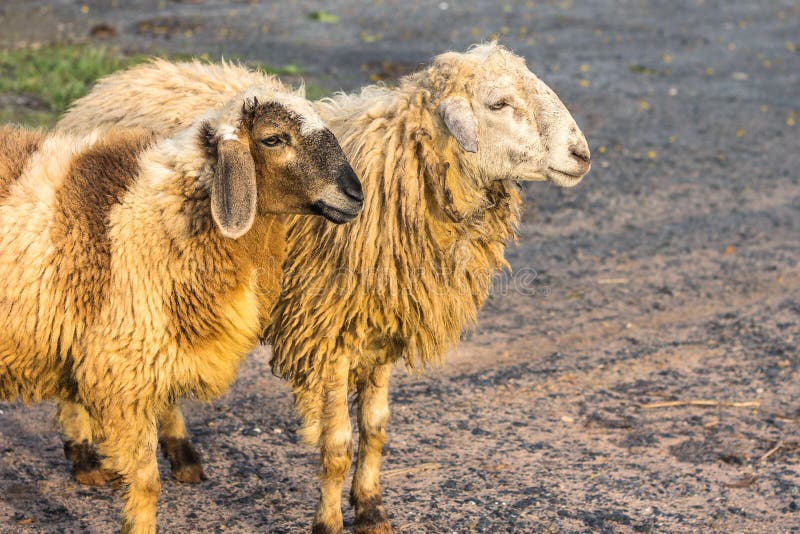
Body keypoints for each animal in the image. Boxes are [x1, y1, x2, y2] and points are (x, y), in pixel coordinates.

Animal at [53, 43, 591, 533]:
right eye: (499, 103)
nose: (582, 155)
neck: (394, 174)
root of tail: (122, 79)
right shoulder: (326, 335)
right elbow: (337, 446)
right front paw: (329, 521)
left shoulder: (379, 333)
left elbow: (375, 430)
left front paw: (371, 509)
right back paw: (84, 458)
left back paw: (181, 454)